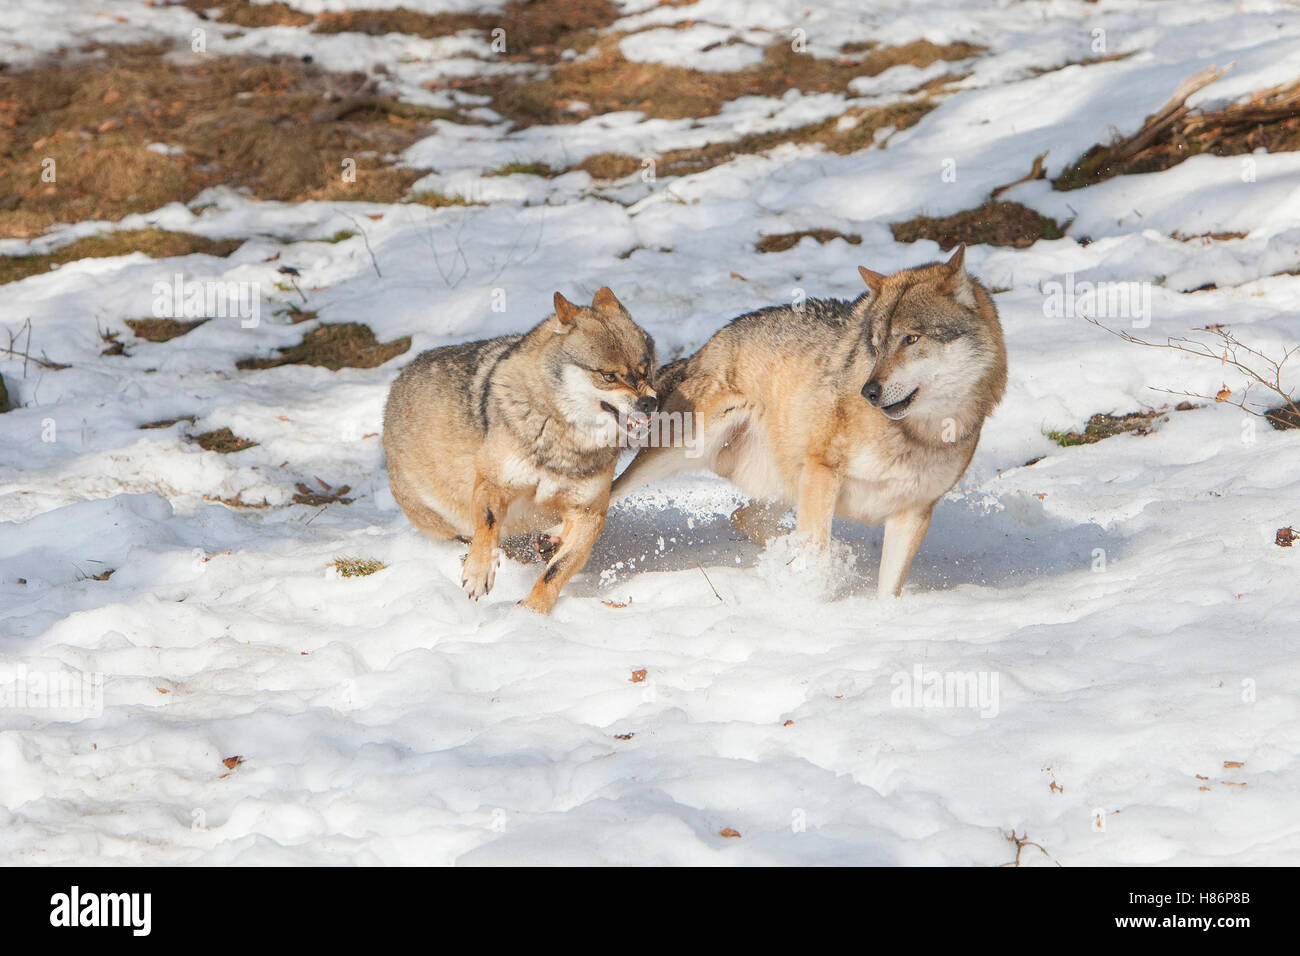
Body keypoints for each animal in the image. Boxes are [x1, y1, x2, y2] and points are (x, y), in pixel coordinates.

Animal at [383, 287, 657, 614]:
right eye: (609, 376)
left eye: (645, 371)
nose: (651, 402)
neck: (563, 439)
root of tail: (399, 379)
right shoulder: (493, 485)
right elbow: (488, 525)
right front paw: (479, 574)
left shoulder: (588, 514)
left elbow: (556, 571)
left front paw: (532, 613)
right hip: (437, 515)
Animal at [612, 246, 1006, 598]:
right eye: (876, 345)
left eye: (911, 339)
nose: (869, 392)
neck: (917, 433)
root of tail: (710, 342)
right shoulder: (822, 472)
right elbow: (817, 556)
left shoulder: (913, 512)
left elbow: (887, 591)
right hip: (682, 450)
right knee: (613, 491)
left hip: (783, 480)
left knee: (742, 516)